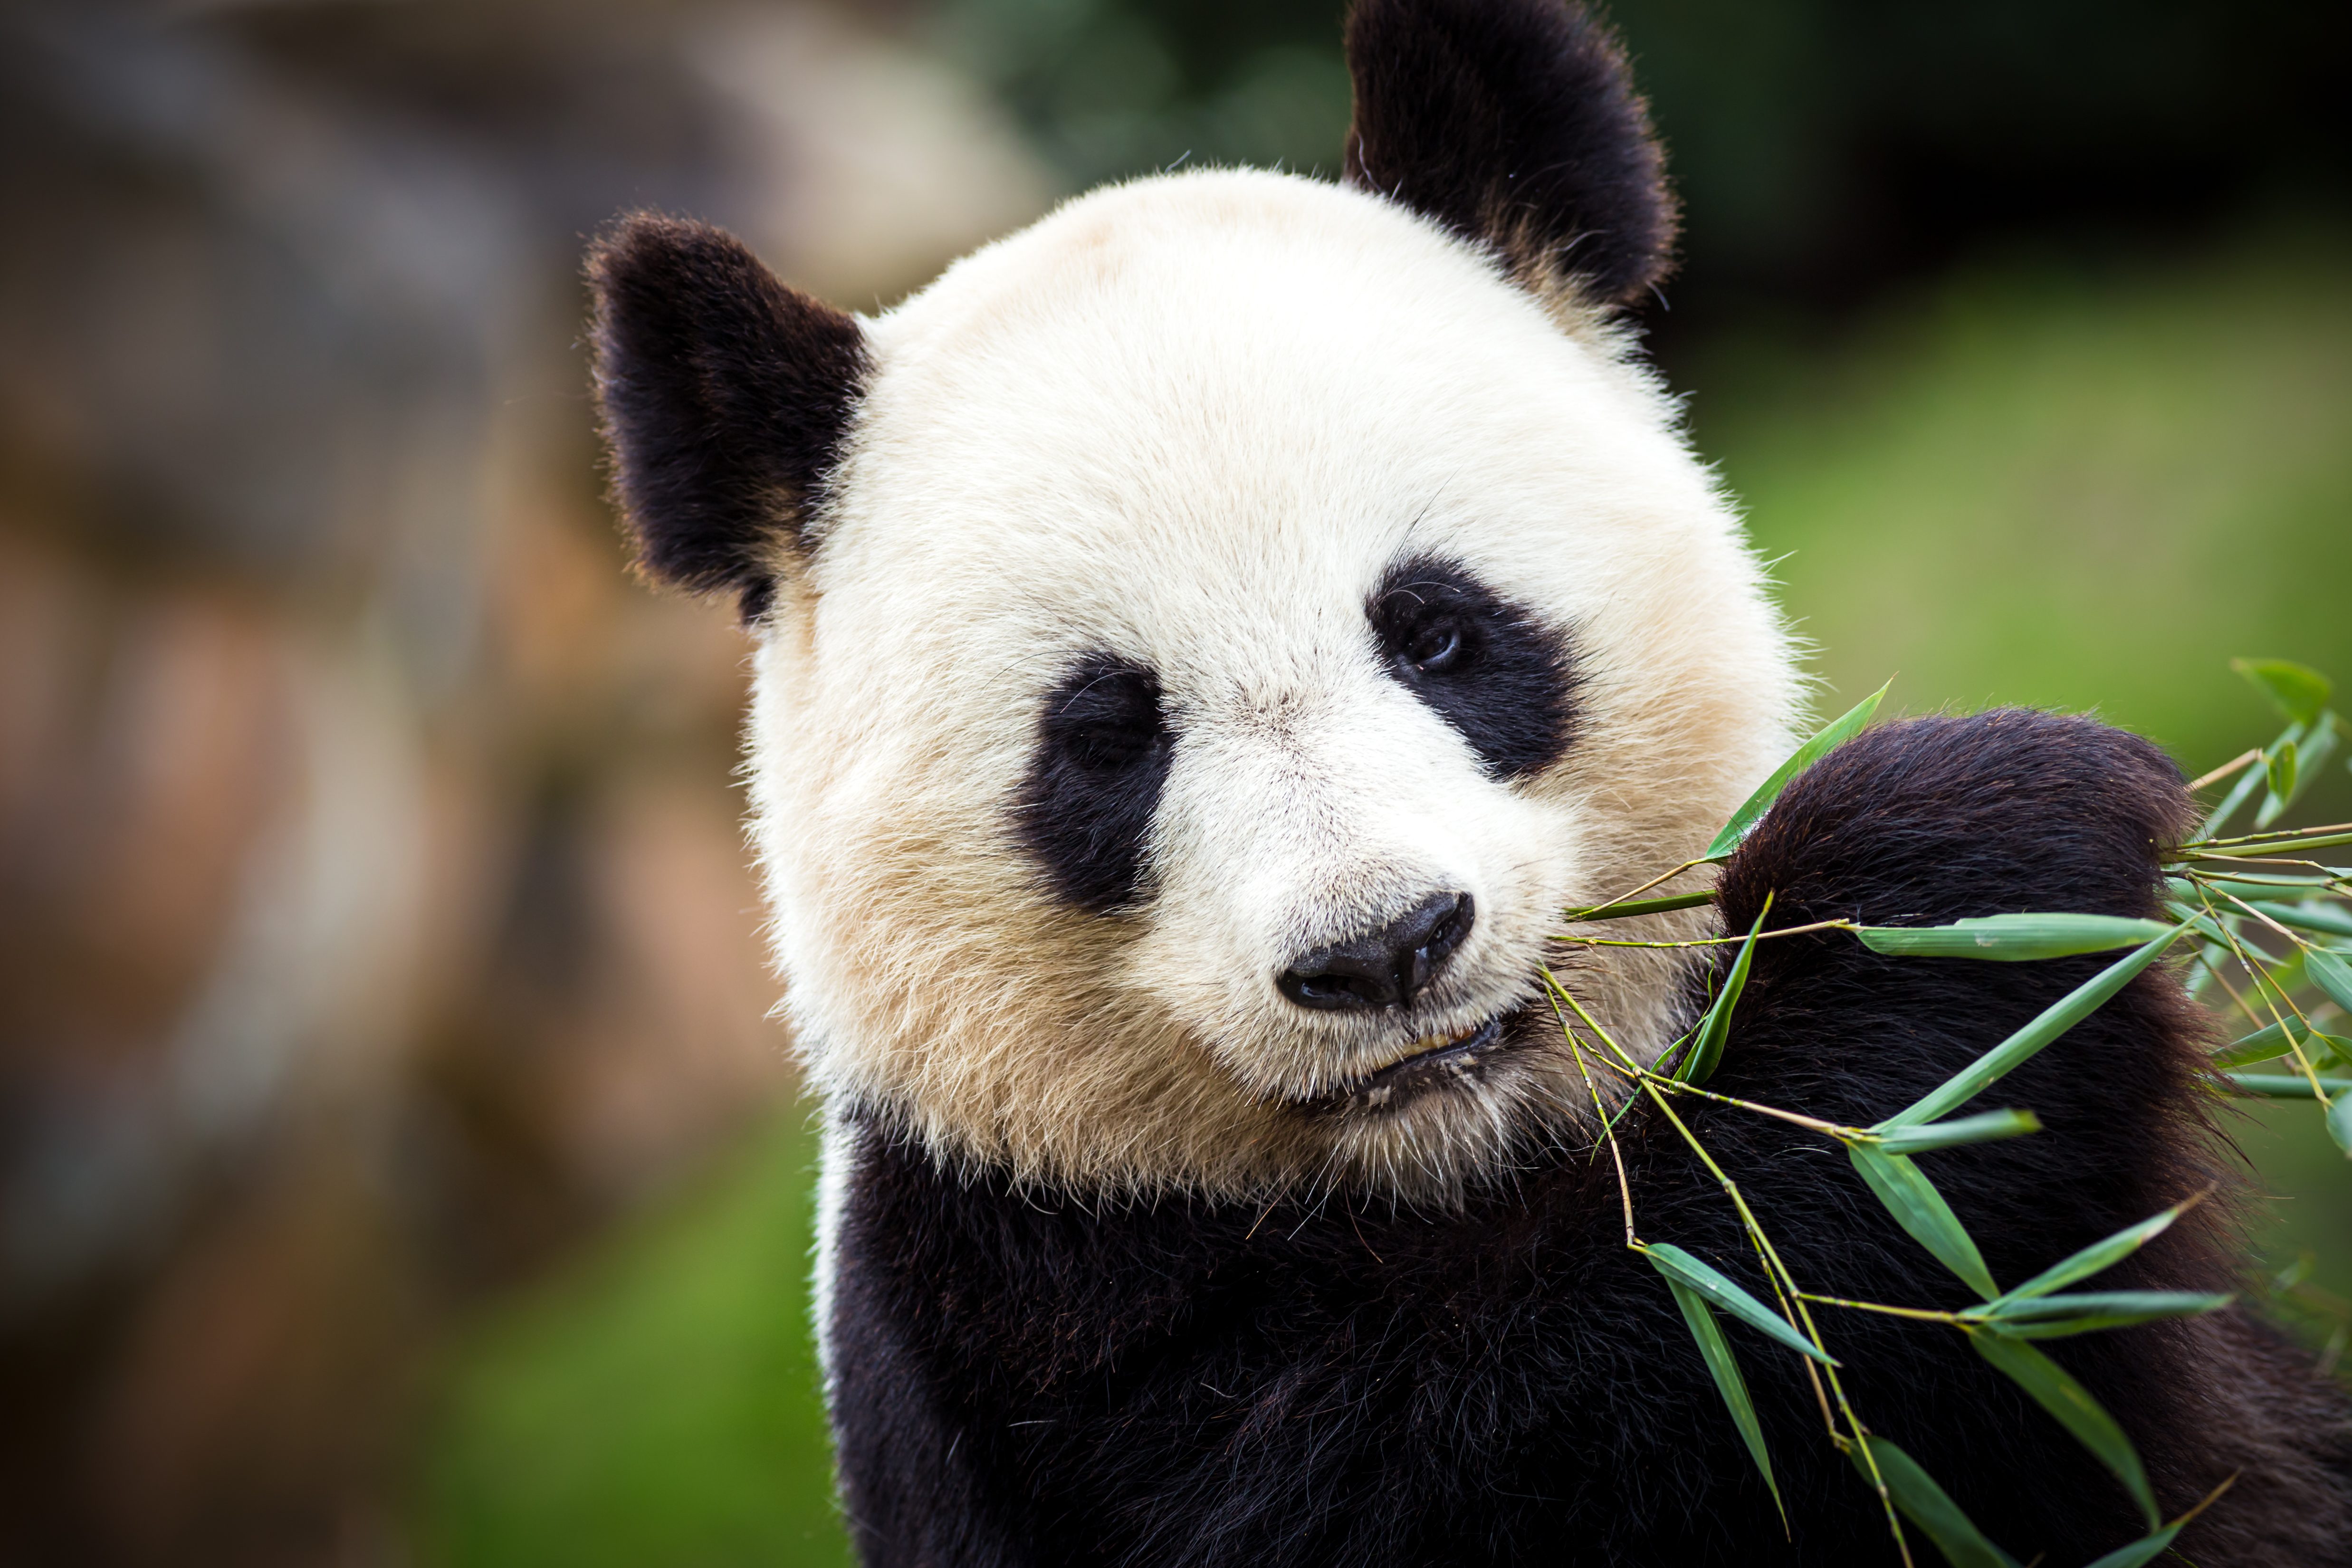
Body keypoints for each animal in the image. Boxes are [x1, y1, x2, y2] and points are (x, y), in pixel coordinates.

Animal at [585, 0, 2352, 1561]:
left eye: (1435, 629)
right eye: (1107, 737)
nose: (1382, 950)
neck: (1446, 1167)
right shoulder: (1006, 1309)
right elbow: (1557, 1419)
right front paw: (1979, 853)